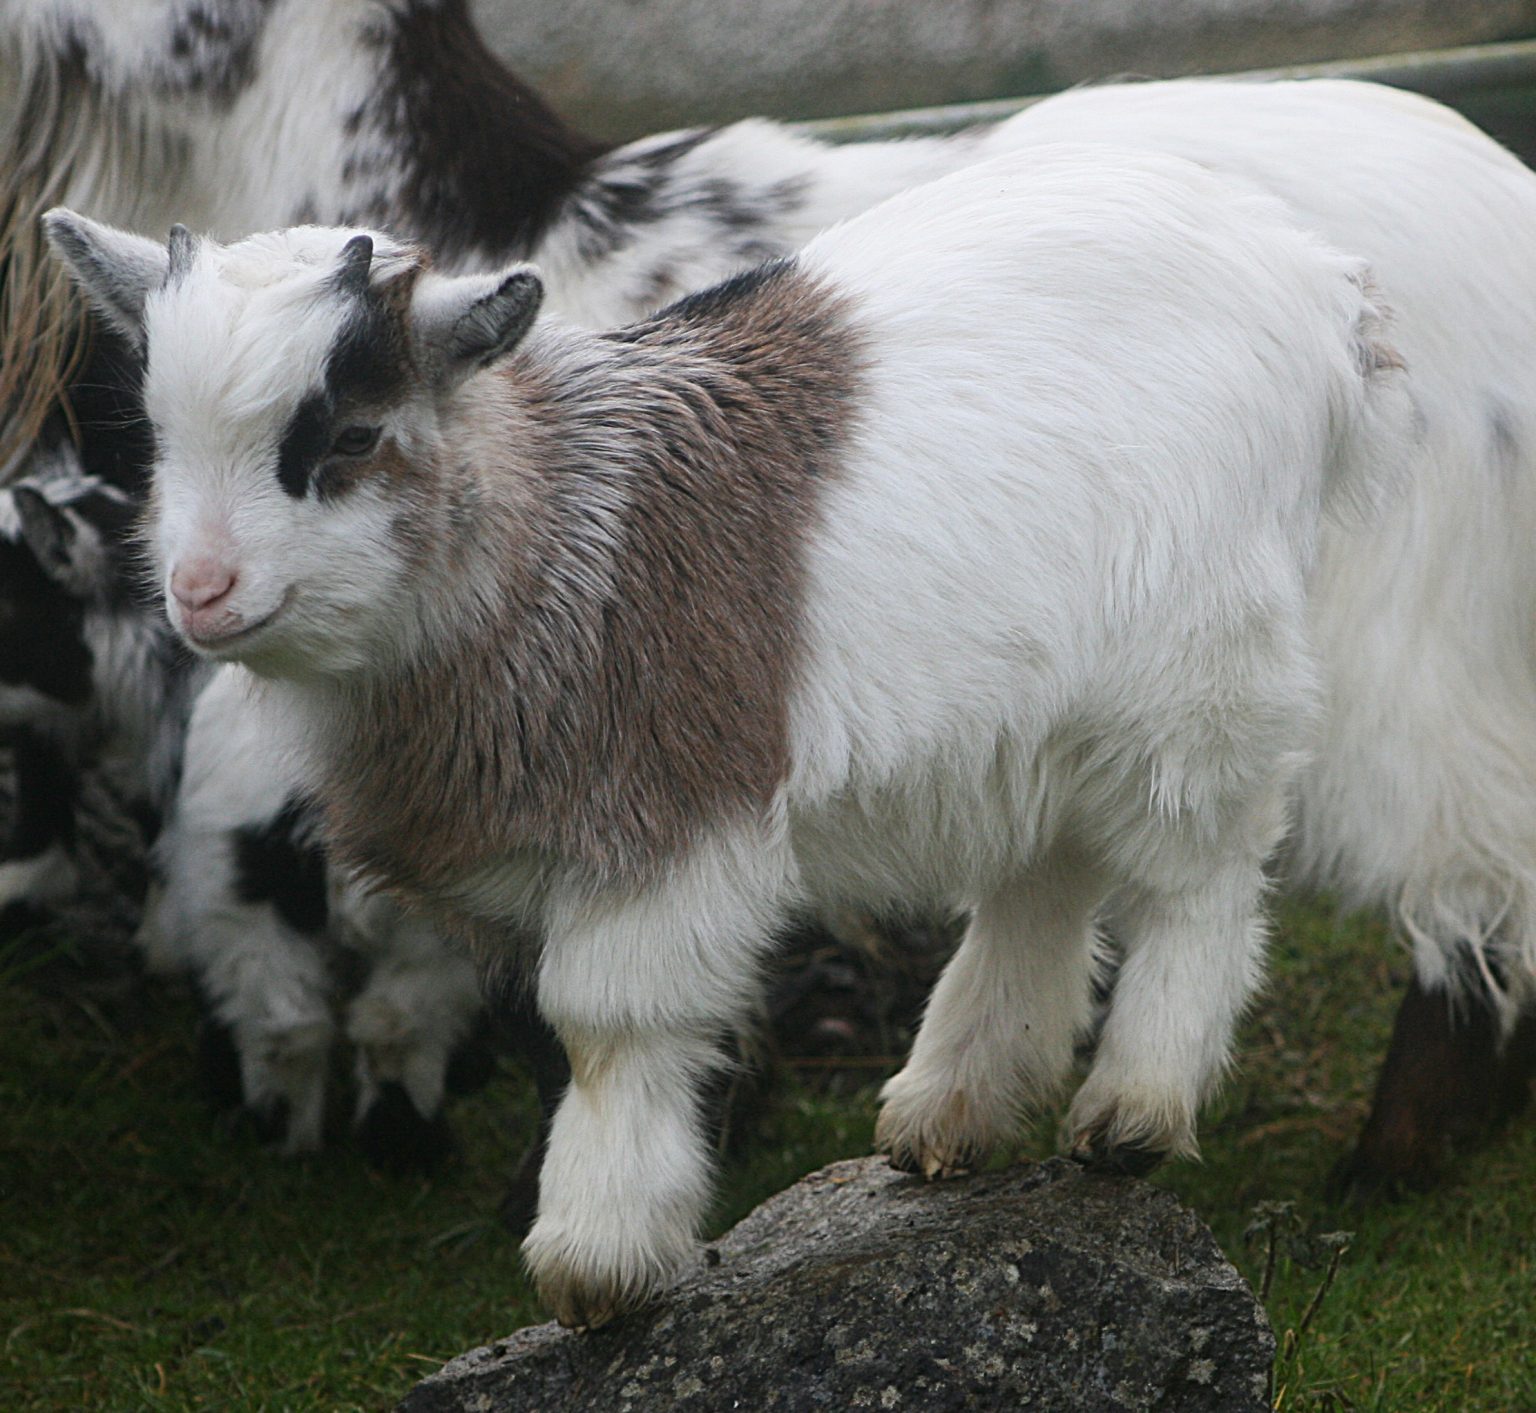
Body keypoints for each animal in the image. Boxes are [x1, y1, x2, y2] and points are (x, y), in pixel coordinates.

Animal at [47, 141, 1416, 1324]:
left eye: (347, 438)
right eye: (160, 439)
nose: (201, 593)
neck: (553, 539)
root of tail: (1317, 281)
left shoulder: (659, 814)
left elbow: (611, 1030)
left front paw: (597, 1262)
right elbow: (547, 1043)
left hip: (1197, 682)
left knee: (1204, 877)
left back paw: (1132, 1108)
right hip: (1036, 716)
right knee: (1044, 879)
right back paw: (948, 1113)